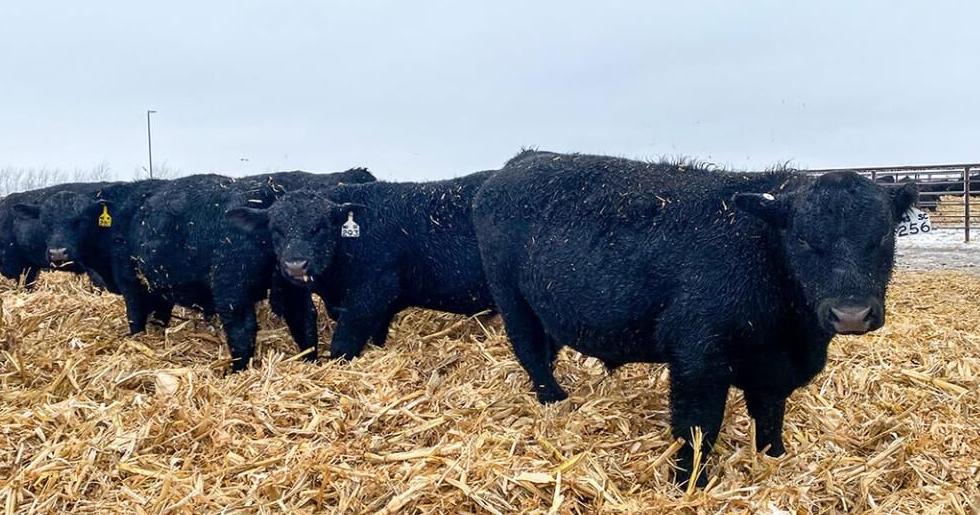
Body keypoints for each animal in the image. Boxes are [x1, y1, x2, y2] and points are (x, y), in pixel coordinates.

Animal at [471, 150, 917, 487]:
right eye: (804, 239)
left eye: (883, 235)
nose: (851, 314)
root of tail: (522, 160)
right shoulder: (697, 360)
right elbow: (697, 428)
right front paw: (689, 484)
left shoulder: (772, 368)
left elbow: (770, 418)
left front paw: (773, 458)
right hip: (514, 302)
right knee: (531, 354)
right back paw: (555, 401)